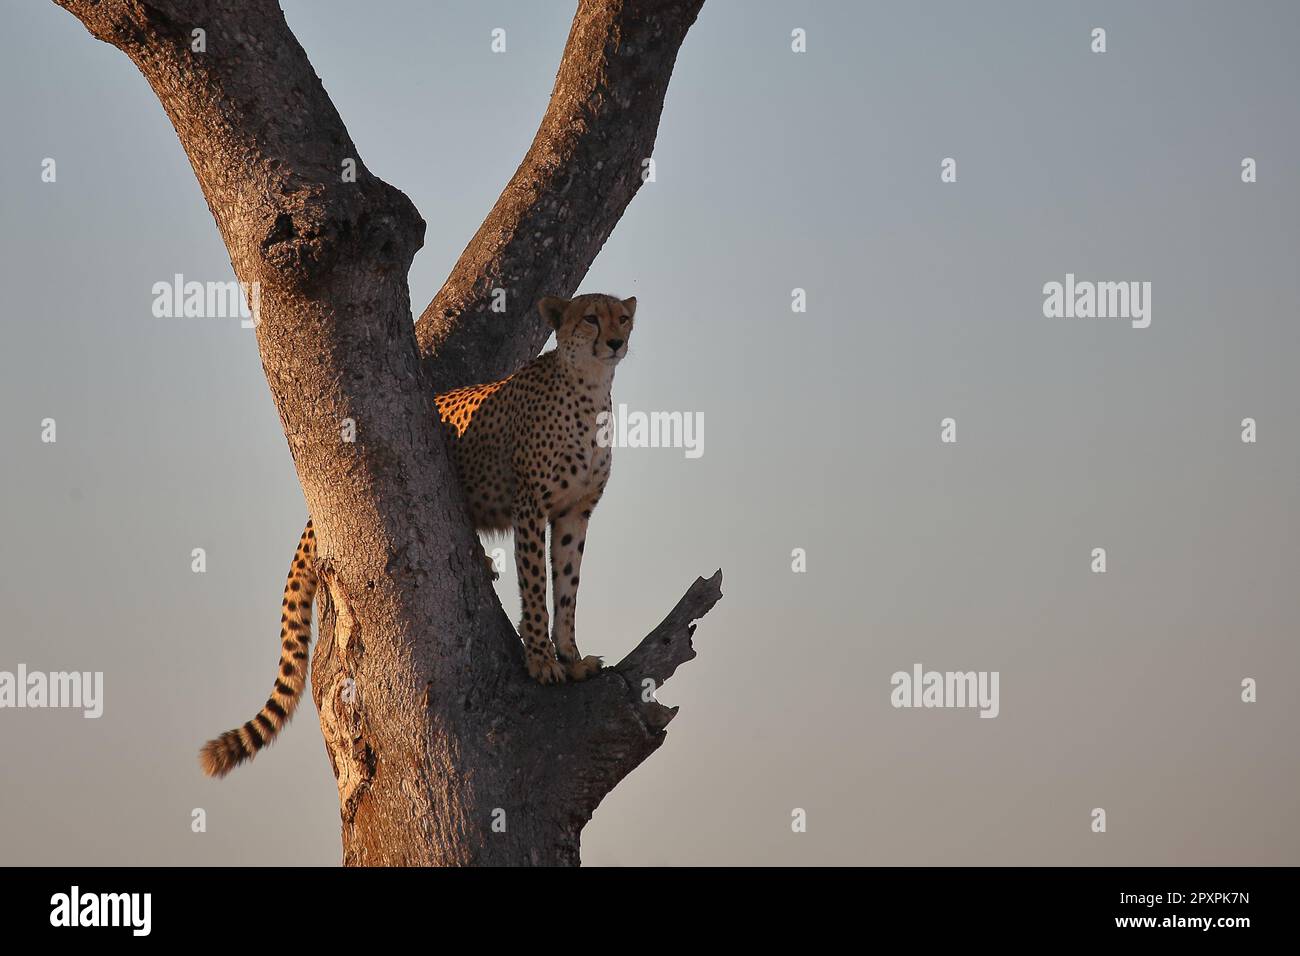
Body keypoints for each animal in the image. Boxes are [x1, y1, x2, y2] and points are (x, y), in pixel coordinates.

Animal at [199, 293, 636, 777]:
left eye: (623, 318)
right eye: (590, 318)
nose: (615, 342)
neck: (588, 387)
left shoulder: (574, 515)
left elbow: (567, 590)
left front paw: (572, 658)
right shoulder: (529, 508)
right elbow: (537, 587)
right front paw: (541, 660)